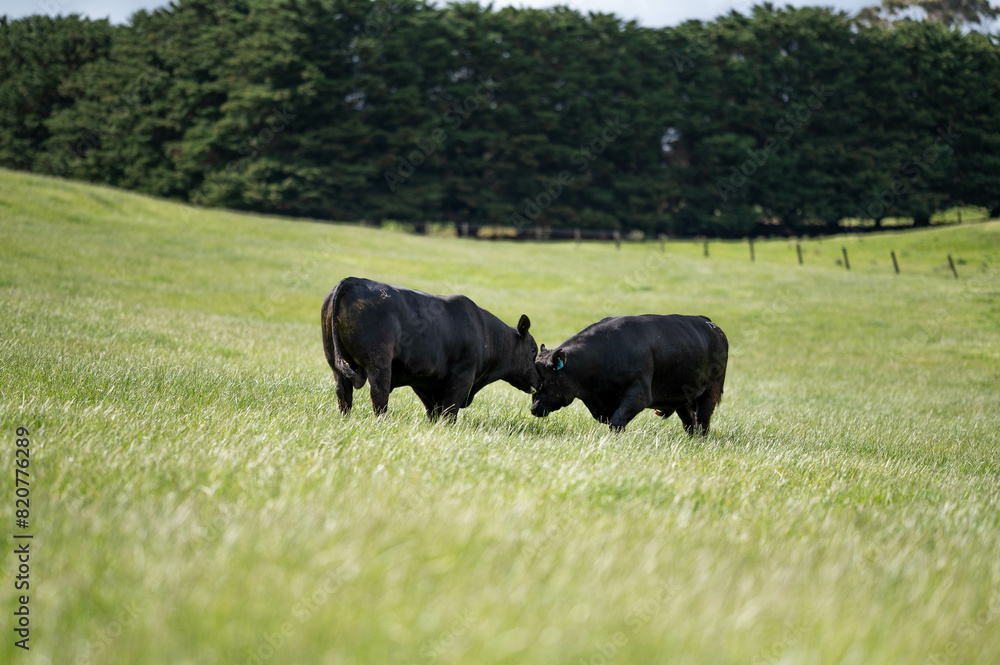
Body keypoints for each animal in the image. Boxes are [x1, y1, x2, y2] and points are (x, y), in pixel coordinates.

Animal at [321, 277, 540, 421]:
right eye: (532, 350)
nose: (538, 378)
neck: (484, 332)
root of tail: (354, 280)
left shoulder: (424, 380)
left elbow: (433, 410)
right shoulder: (463, 377)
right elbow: (449, 411)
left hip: (334, 361)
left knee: (343, 393)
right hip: (379, 363)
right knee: (378, 395)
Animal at [530, 315, 728, 434]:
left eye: (542, 382)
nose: (533, 409)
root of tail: (711, 324)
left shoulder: (639, 394)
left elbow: (617, 421)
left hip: (712, 388)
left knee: (702, 420)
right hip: (681, 395)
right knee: (688, 421)